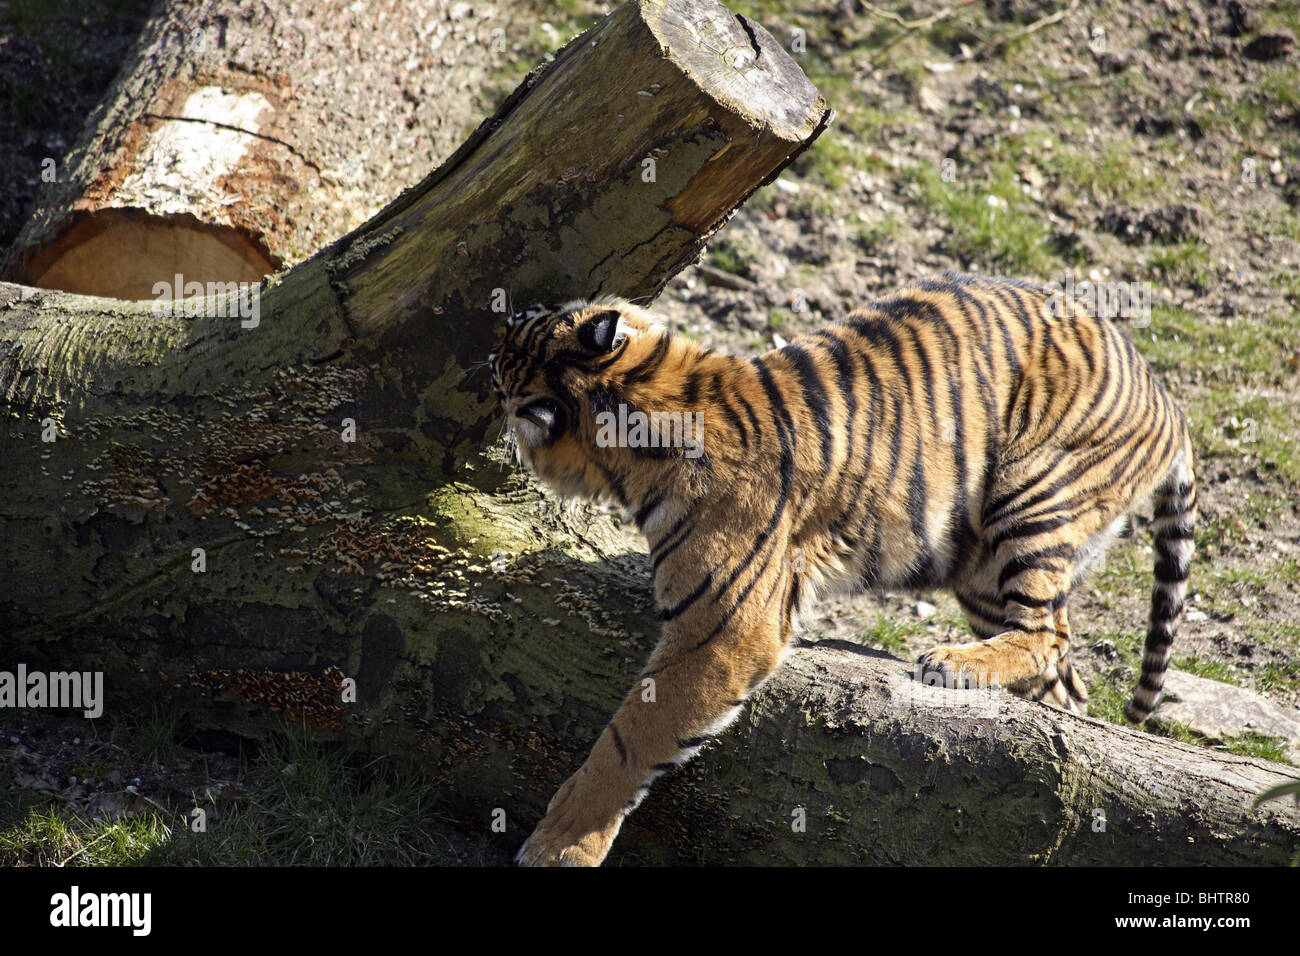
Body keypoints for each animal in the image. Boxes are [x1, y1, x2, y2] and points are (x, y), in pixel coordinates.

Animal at [488, 272, 1197, 866]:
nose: (498, 324)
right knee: (1066, 691)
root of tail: (1168, 398)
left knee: (1049, 635)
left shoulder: (724, 636)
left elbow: (628, 741)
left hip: (1033, 494)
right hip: (981, 572)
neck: (654, 395)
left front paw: (560, 846)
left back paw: (952, 664)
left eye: (507, 358)